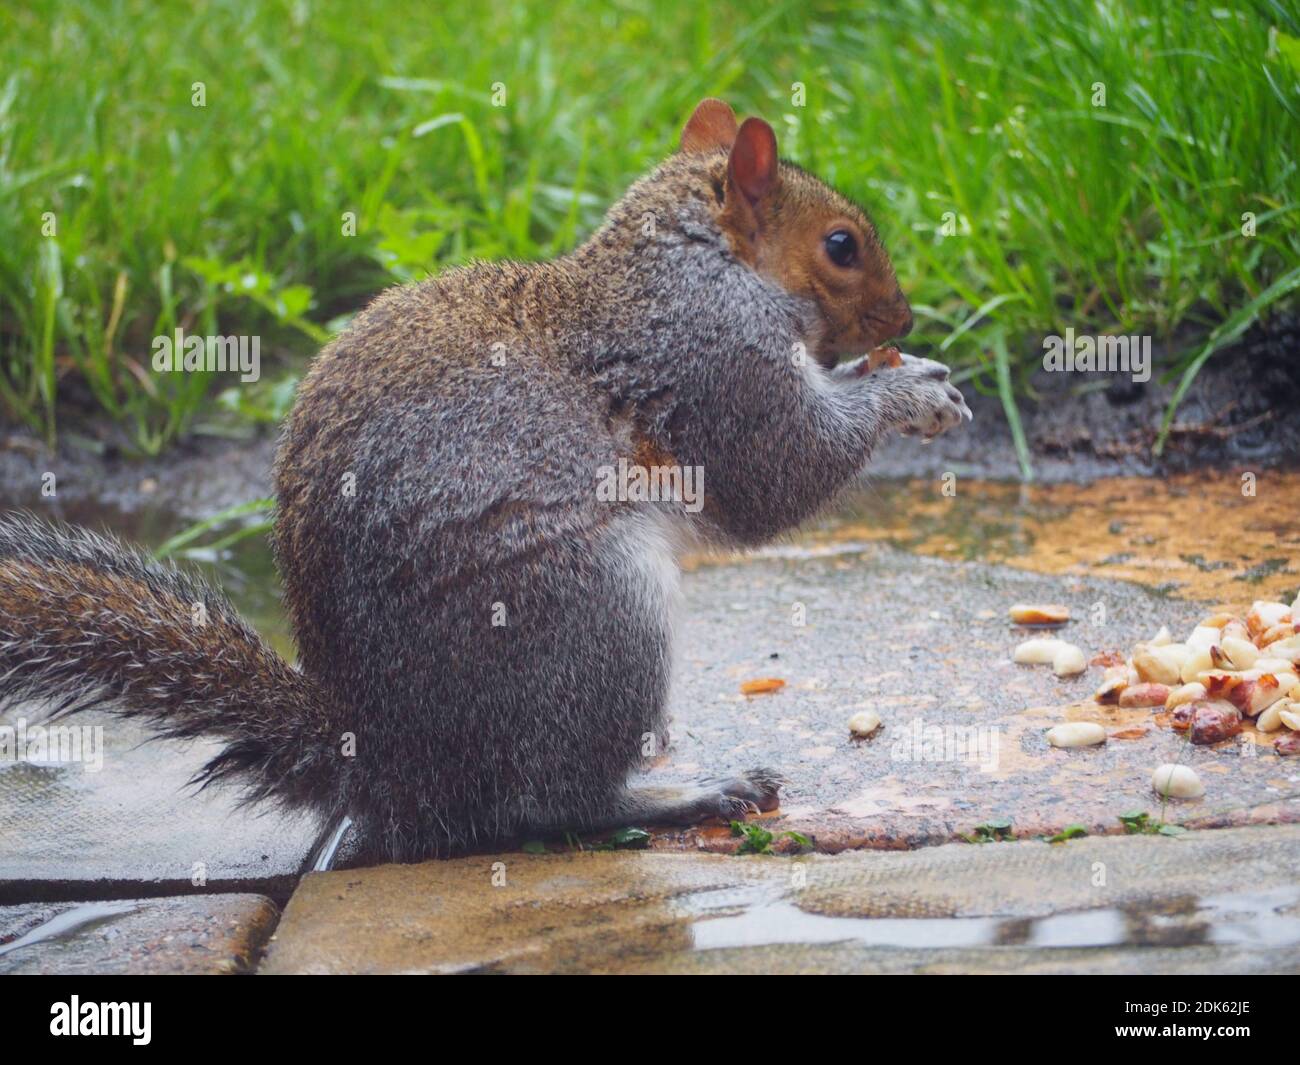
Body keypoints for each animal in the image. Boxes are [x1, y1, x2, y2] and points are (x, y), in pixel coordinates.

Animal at [0, 99, 970, 863]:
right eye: (841, 246)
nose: (903, 317)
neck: (695, 264)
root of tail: (386, 764)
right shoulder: (711, 365)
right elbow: (778, 470)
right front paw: (911, 390)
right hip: (590, 612)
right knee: (547, 801)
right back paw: (684, 792)